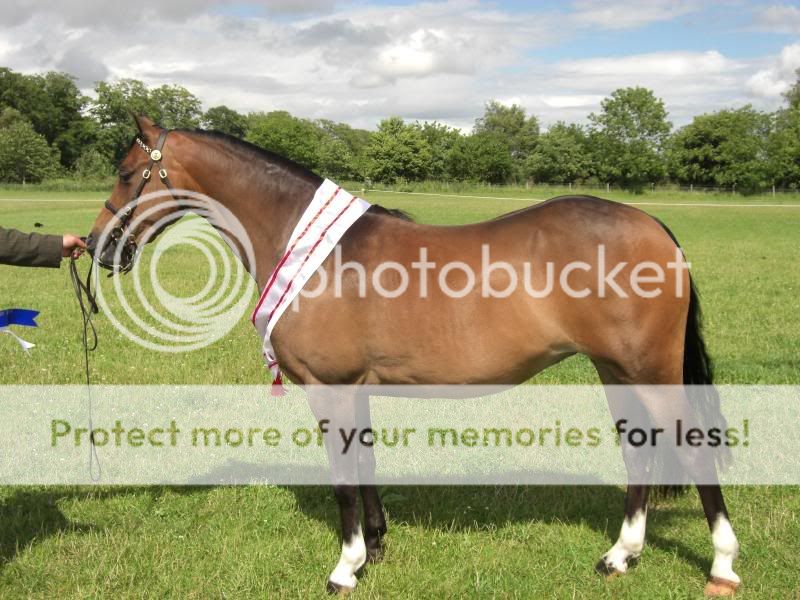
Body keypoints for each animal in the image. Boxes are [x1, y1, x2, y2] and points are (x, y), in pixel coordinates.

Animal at [86, 115, 740, 597]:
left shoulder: (329, 388)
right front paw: (374, 546)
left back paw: (721, 566)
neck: (314, 251)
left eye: (125, 172)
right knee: (640, 451)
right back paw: (620, 556)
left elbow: (343, 481)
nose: (96, 246)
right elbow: (366, 466)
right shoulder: (355, 389)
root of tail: (653, 225)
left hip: (650, 372)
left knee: (690, 449)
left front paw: (344, 568)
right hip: (616, 371)